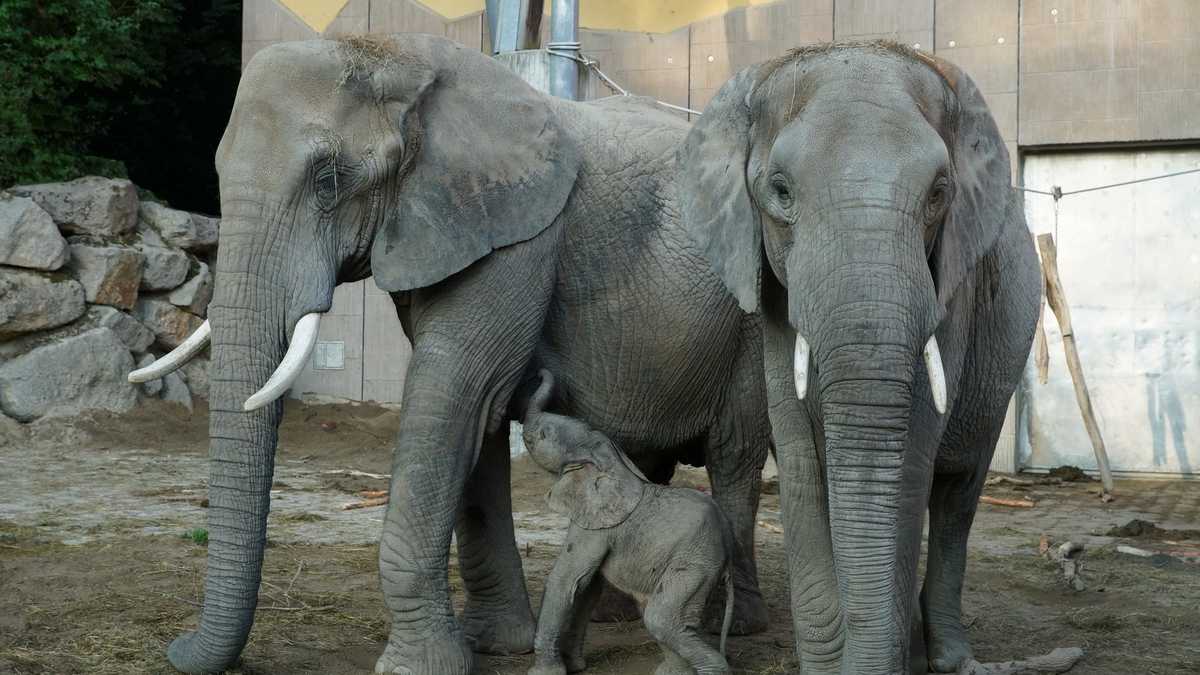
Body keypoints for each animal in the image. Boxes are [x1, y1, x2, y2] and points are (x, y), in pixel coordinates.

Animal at [521, 370, 736, 675]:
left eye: (543, 435)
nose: (539, 372)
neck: (611, 460)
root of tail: (729, 547)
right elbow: (587, 587)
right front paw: (575, 666)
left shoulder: (596, 525)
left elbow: (567, 580)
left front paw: (546, 672)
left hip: (696, 562)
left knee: (660, 618)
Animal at [678, 42, 1041, 673]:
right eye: (780, 190)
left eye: (939, 194)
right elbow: (800, 456)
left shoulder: (952, 288)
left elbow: (912, 460)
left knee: (956, 495)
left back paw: (946, 656)